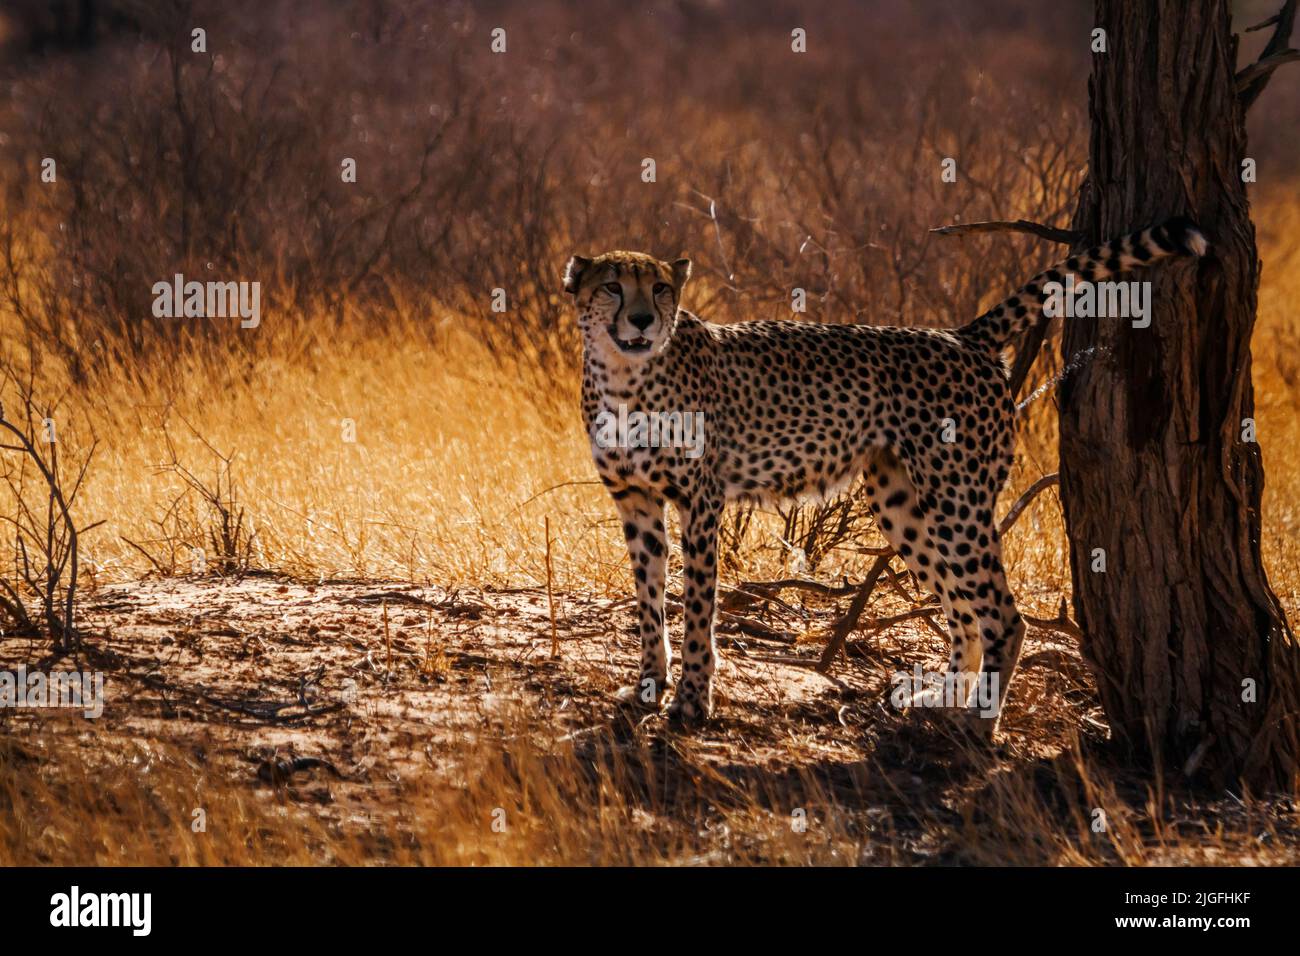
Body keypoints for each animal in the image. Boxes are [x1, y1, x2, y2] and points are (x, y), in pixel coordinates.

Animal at [564, 216, 1207, 734]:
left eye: (661, 288)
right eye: (613, 286)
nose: (643, 320)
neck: (626, 376)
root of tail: (960, 335)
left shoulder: (700, 503)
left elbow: (698, 606)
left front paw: (693, 701)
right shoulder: (635, 500)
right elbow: (649, 601)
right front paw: (649, 685)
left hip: (955, 502)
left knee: (1004, 616)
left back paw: (980, 723)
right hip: (905, 504)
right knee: (964, 613)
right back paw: (944, 699)